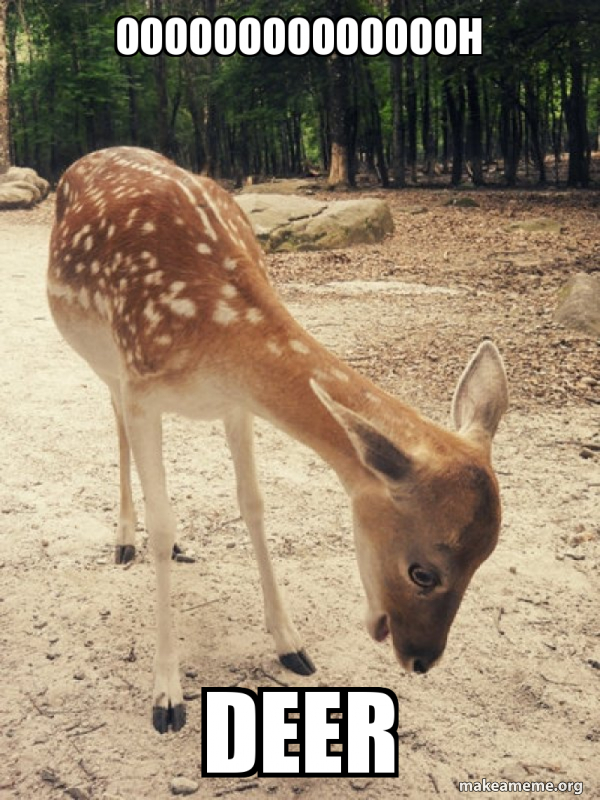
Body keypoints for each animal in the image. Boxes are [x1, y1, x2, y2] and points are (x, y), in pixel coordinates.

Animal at [47, 147, 508, 734]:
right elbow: (163, 517)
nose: (421, 659)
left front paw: (291, 645)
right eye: (422, 571)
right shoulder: (140, 388)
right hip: (105, 362)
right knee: (116, 425)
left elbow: (254, 504)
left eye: (485, 559)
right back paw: (126, 539)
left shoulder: (237, 403)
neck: (213, 333)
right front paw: (166, 695)